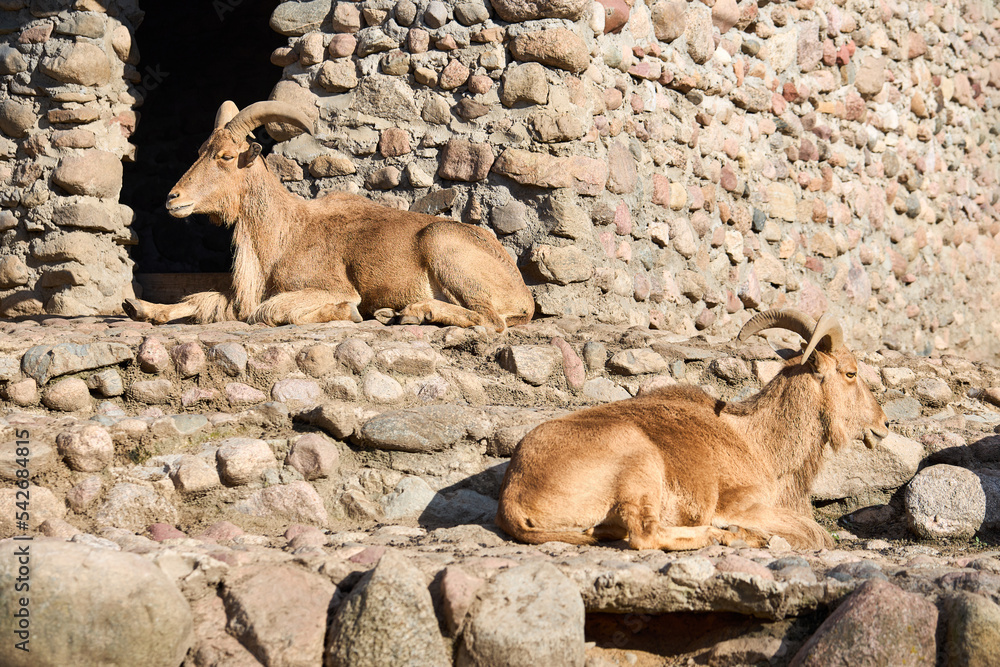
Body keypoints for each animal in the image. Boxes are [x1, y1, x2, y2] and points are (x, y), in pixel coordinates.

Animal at [123, 100, 535, 331]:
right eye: (200, 151)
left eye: (225, 156)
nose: (173, 198)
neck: (284, 231)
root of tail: (524, 298)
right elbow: (201, 300)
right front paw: (139, 307)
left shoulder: (328, 287)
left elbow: (269, 312)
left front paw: (348, 313)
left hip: (442, 246)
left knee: (491, 320)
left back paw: (414, 313)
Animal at [496, 309, 890, 551]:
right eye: (851, 372)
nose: (883, 424)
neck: (759, 442)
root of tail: (512, 496)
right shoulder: (743, 504)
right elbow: (816, 534)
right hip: (639, 460)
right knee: (645, 534)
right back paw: (731, 536)